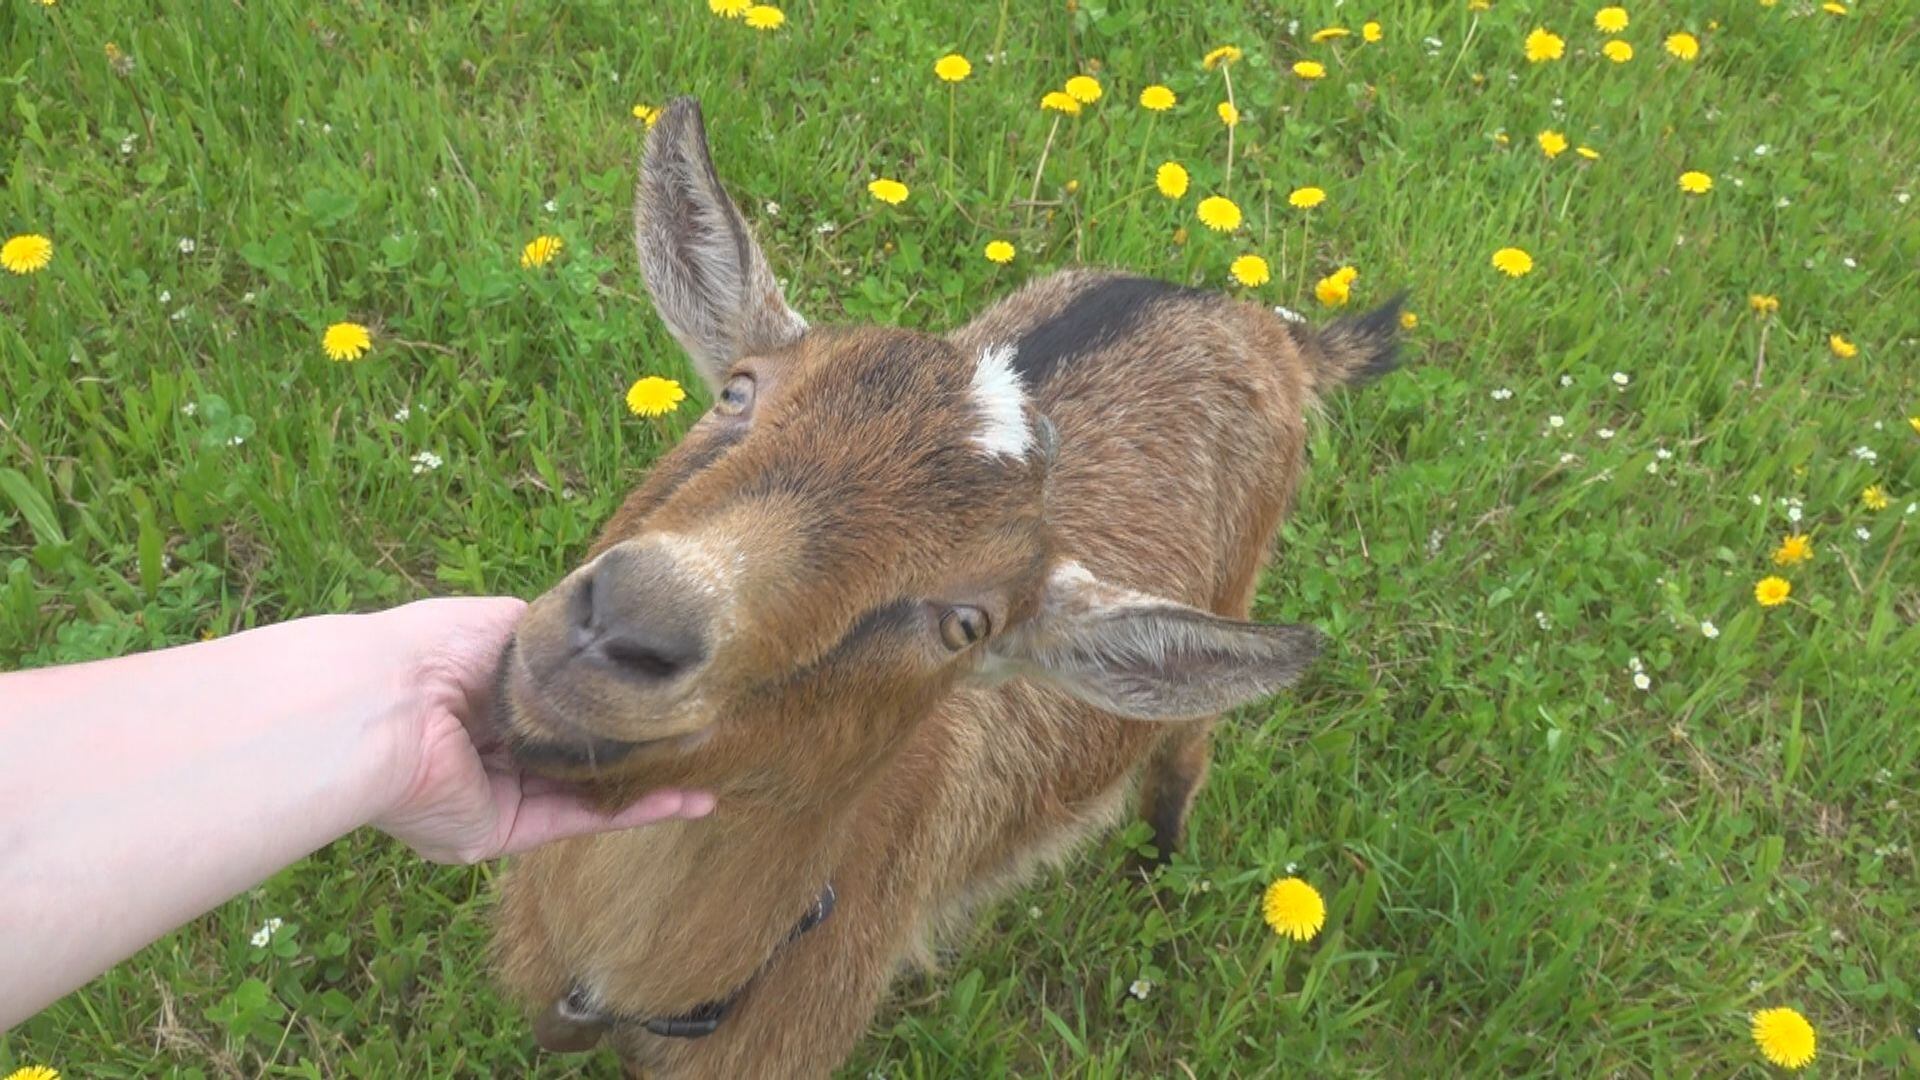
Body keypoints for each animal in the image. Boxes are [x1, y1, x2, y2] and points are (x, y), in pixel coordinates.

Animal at [490, 97, 1402, 1078]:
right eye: (738, 391)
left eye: (968, 623)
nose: (629, 619)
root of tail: (1265, 327)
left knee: (1186, 748)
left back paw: (1157, 868)